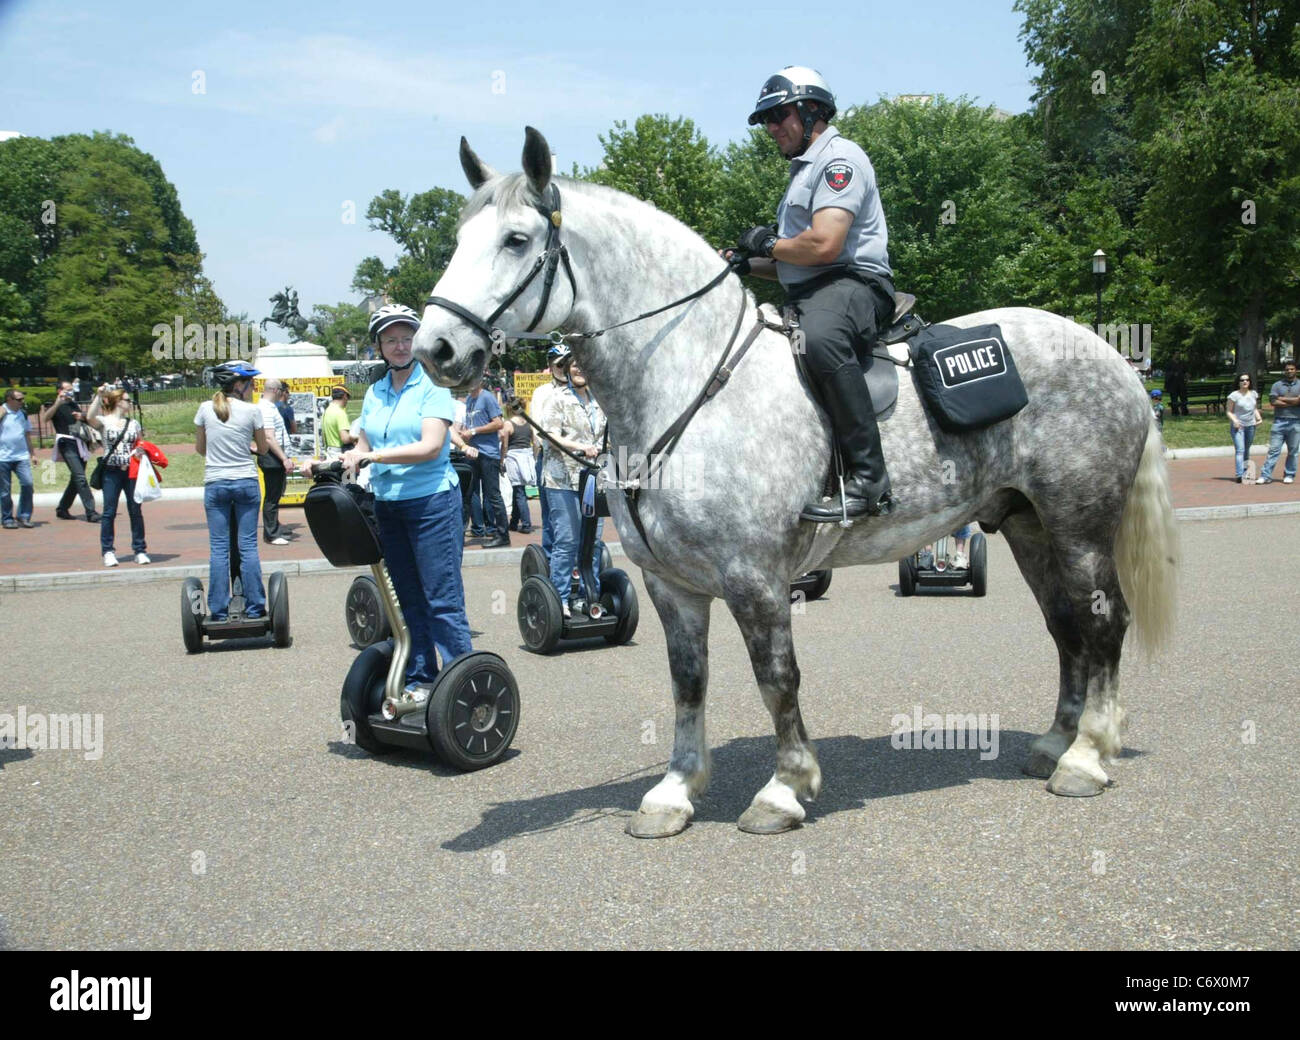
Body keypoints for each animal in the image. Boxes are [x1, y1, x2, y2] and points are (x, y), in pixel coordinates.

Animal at [413, 127, 1178, 838]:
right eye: (459, 238)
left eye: (516, 240)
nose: (434, 349)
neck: (690, 381)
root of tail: (1112, 355)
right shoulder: (671, 584)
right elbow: (688, 681)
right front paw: (674, 792)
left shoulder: (754, 576)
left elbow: (776, 677)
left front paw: (784, 788)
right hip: (1027, 523)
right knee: (1066, 625)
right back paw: (1057, 741)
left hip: (1080, 524)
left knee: (1102, 619)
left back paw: (1087, 757)